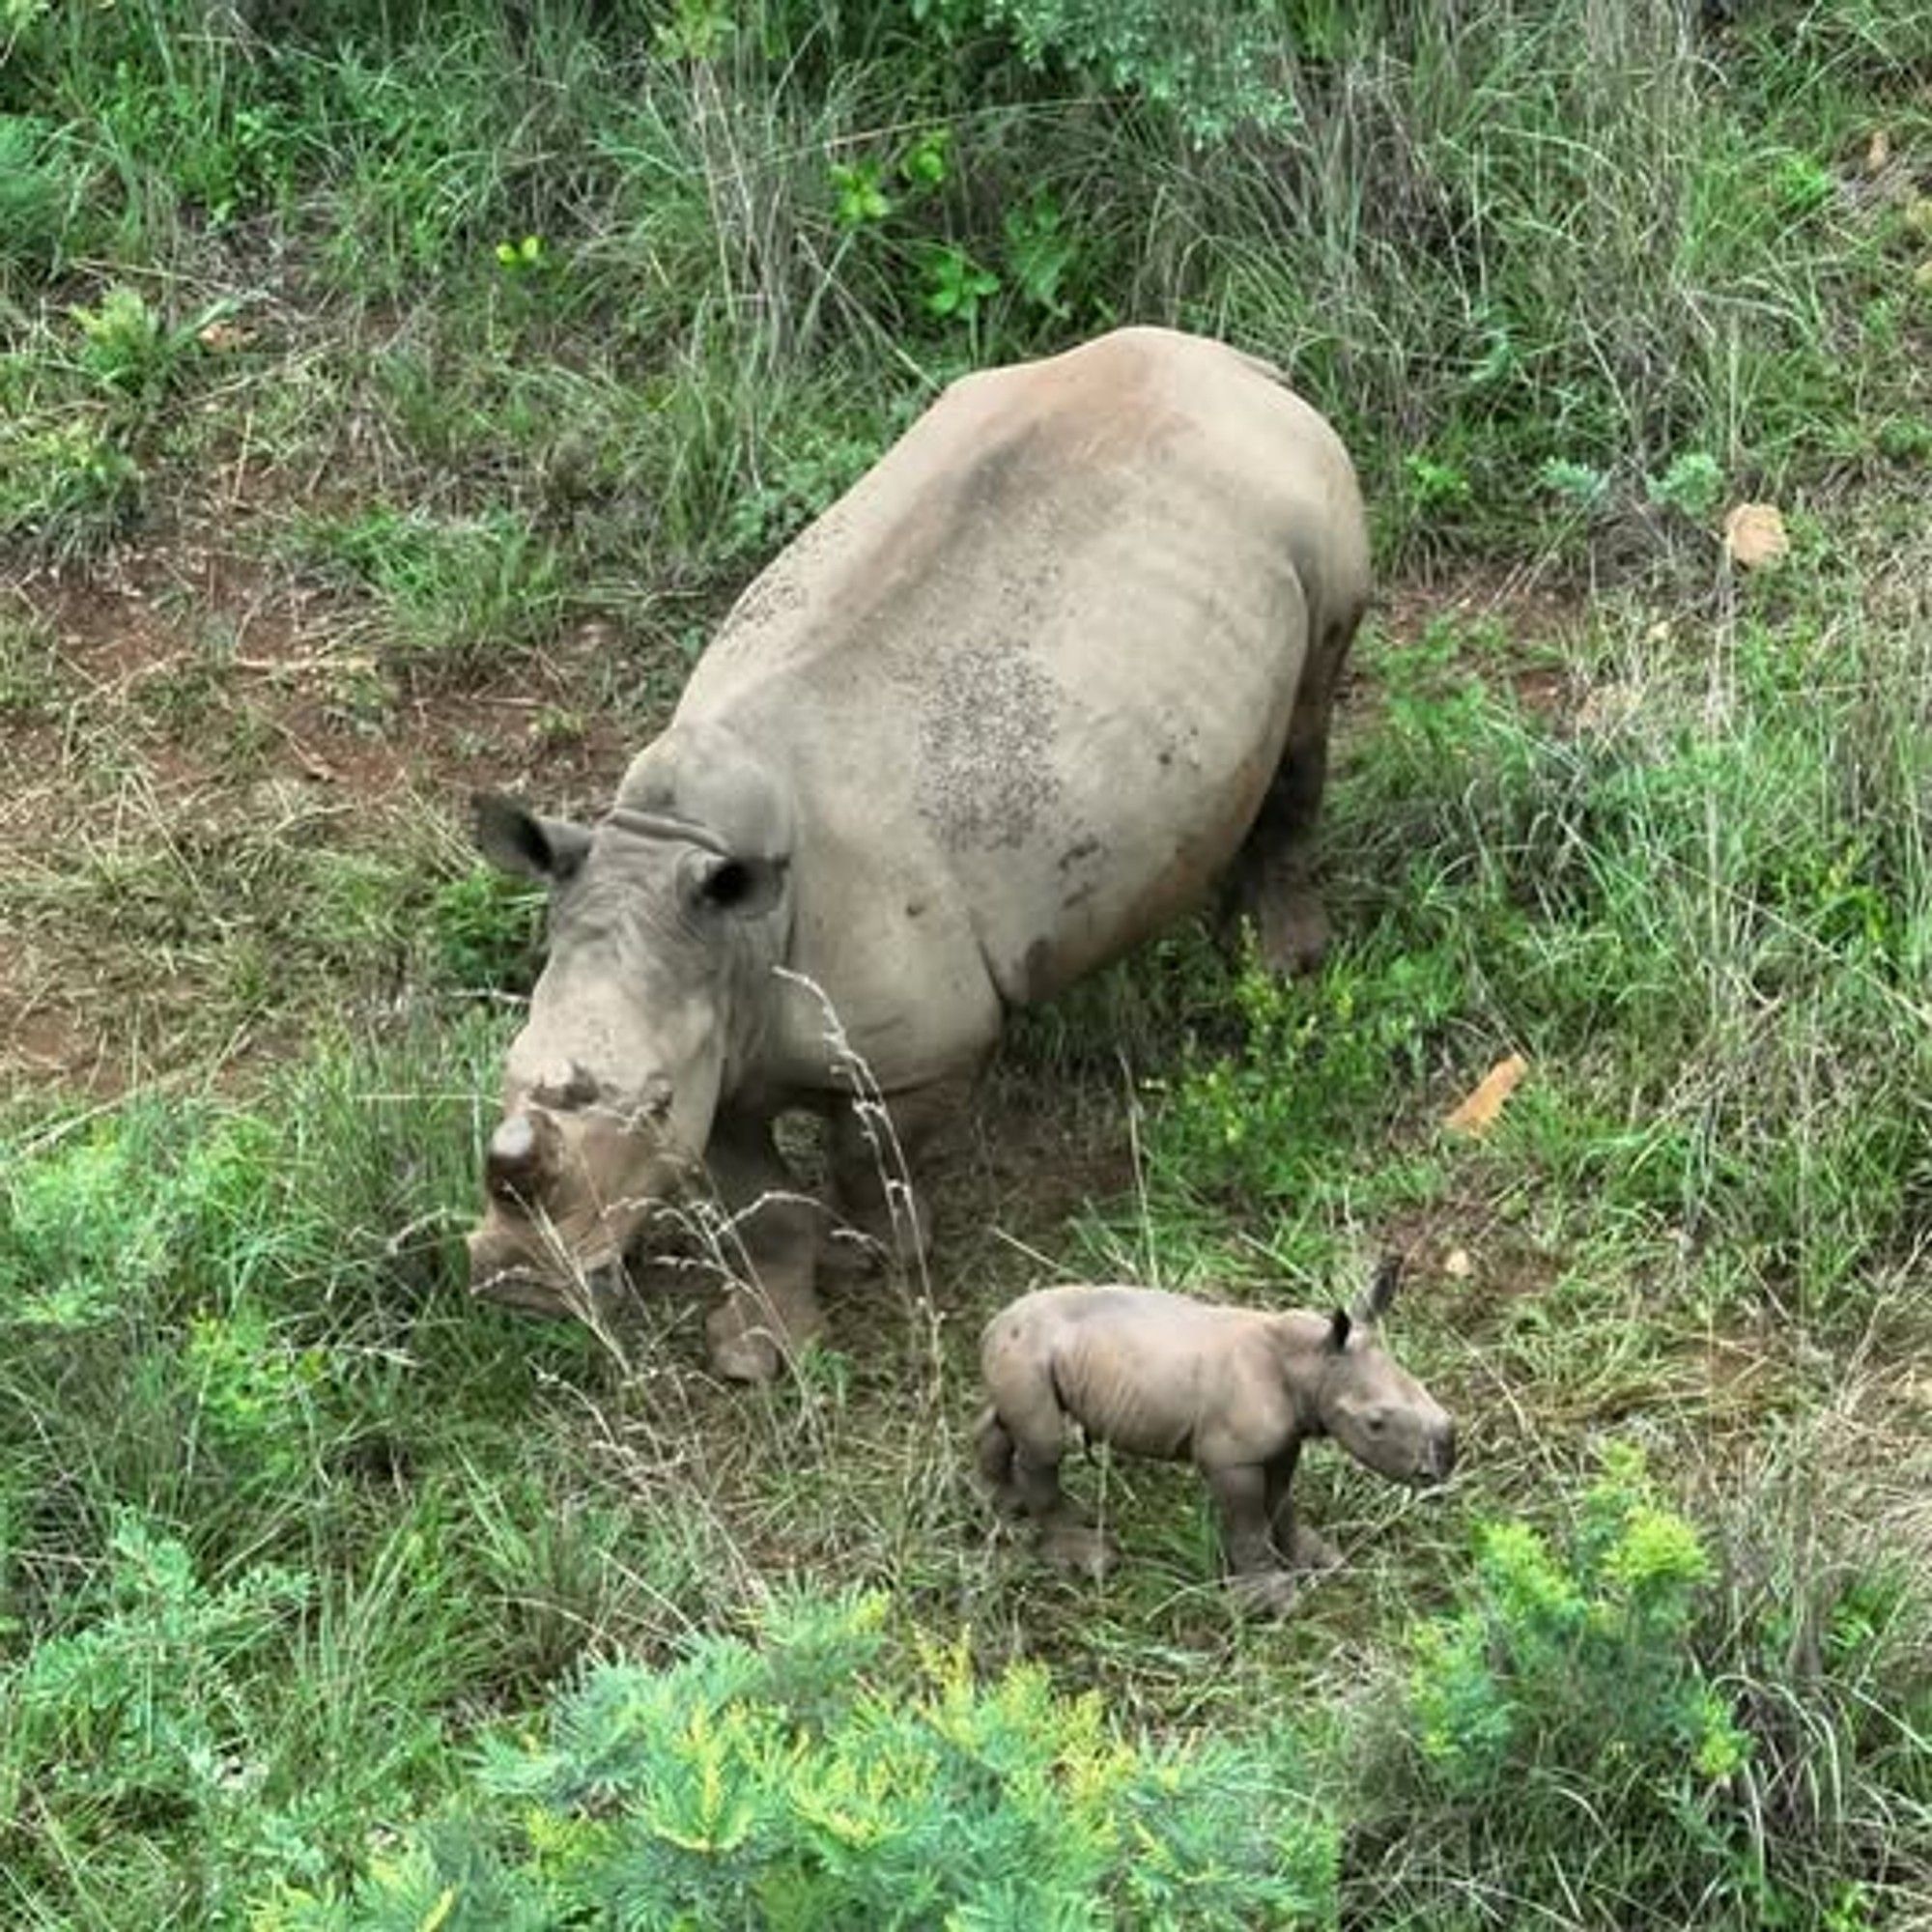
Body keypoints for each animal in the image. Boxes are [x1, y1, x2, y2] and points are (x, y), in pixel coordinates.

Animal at [464, 326, 1371, 1380]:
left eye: (648, 1105)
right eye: (508, 1065)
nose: (520, 1283)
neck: (684, 872)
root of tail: (1237, 368)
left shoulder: (917, 1051)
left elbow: (869, 1156)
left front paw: (876, 1254)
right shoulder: (714, 1034)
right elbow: (759, 1207)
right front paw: (756, 1354)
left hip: (1310, 508)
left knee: (1310, 707)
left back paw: (1277, 965)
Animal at [975, 1259, 1455, 1613]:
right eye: (1375, 1424)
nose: (1445, 1462)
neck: (1311, 1362)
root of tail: (992, 1323)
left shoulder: (1283, 1441)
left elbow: (1280, 1500)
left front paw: (1318, 1561)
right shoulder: (1231, 1458)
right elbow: (1248, 1520)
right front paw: (1273, 1600)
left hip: (1027, 1352)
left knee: (1008, 1424)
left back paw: (1005, 1508)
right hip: (1026, 1350)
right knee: (1046, 1443)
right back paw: (1091, 1557)